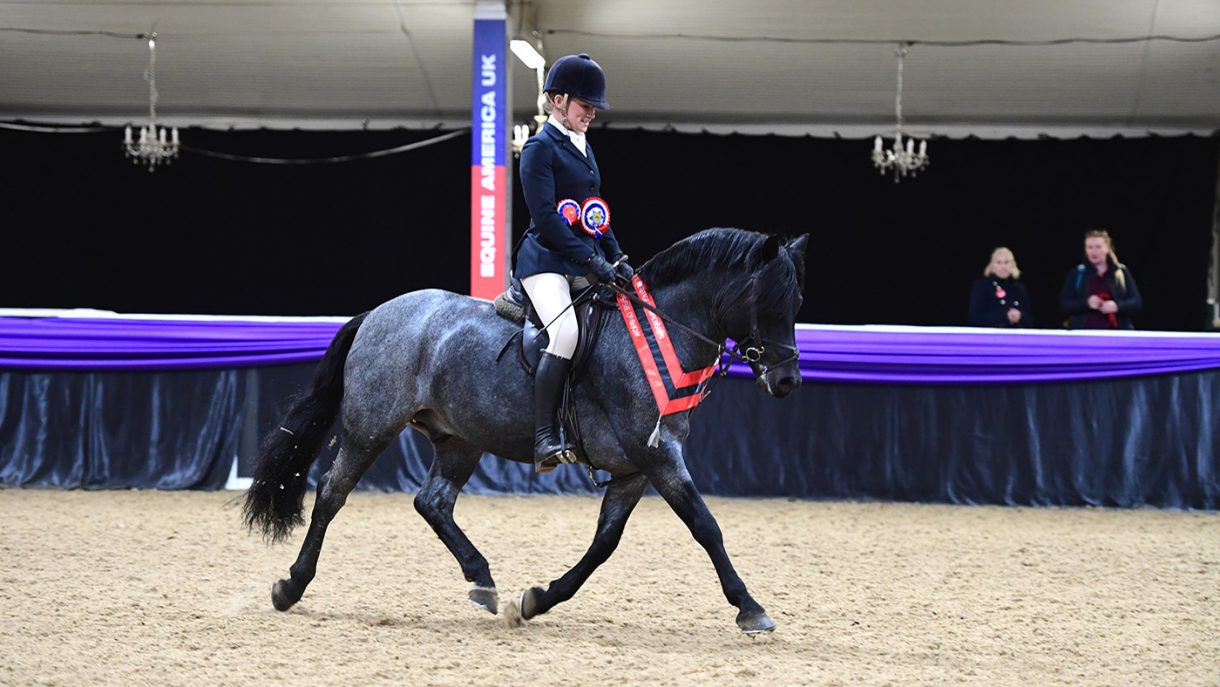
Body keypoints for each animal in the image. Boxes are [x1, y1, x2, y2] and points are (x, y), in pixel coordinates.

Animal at [243, 227, 807, 634]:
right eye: (768, 301)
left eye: (797, 304)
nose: (787, 381)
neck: (653, 335)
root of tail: (378, 312)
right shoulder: (659, 457)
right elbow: (705, 526)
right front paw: (750, 608)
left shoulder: (634, 469)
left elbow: (604, 543)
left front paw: (538, 599)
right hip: (371, 427)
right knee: (331, 493)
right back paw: (290, 587)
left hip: (460, 439)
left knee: (432, 502)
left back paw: (483, 581)